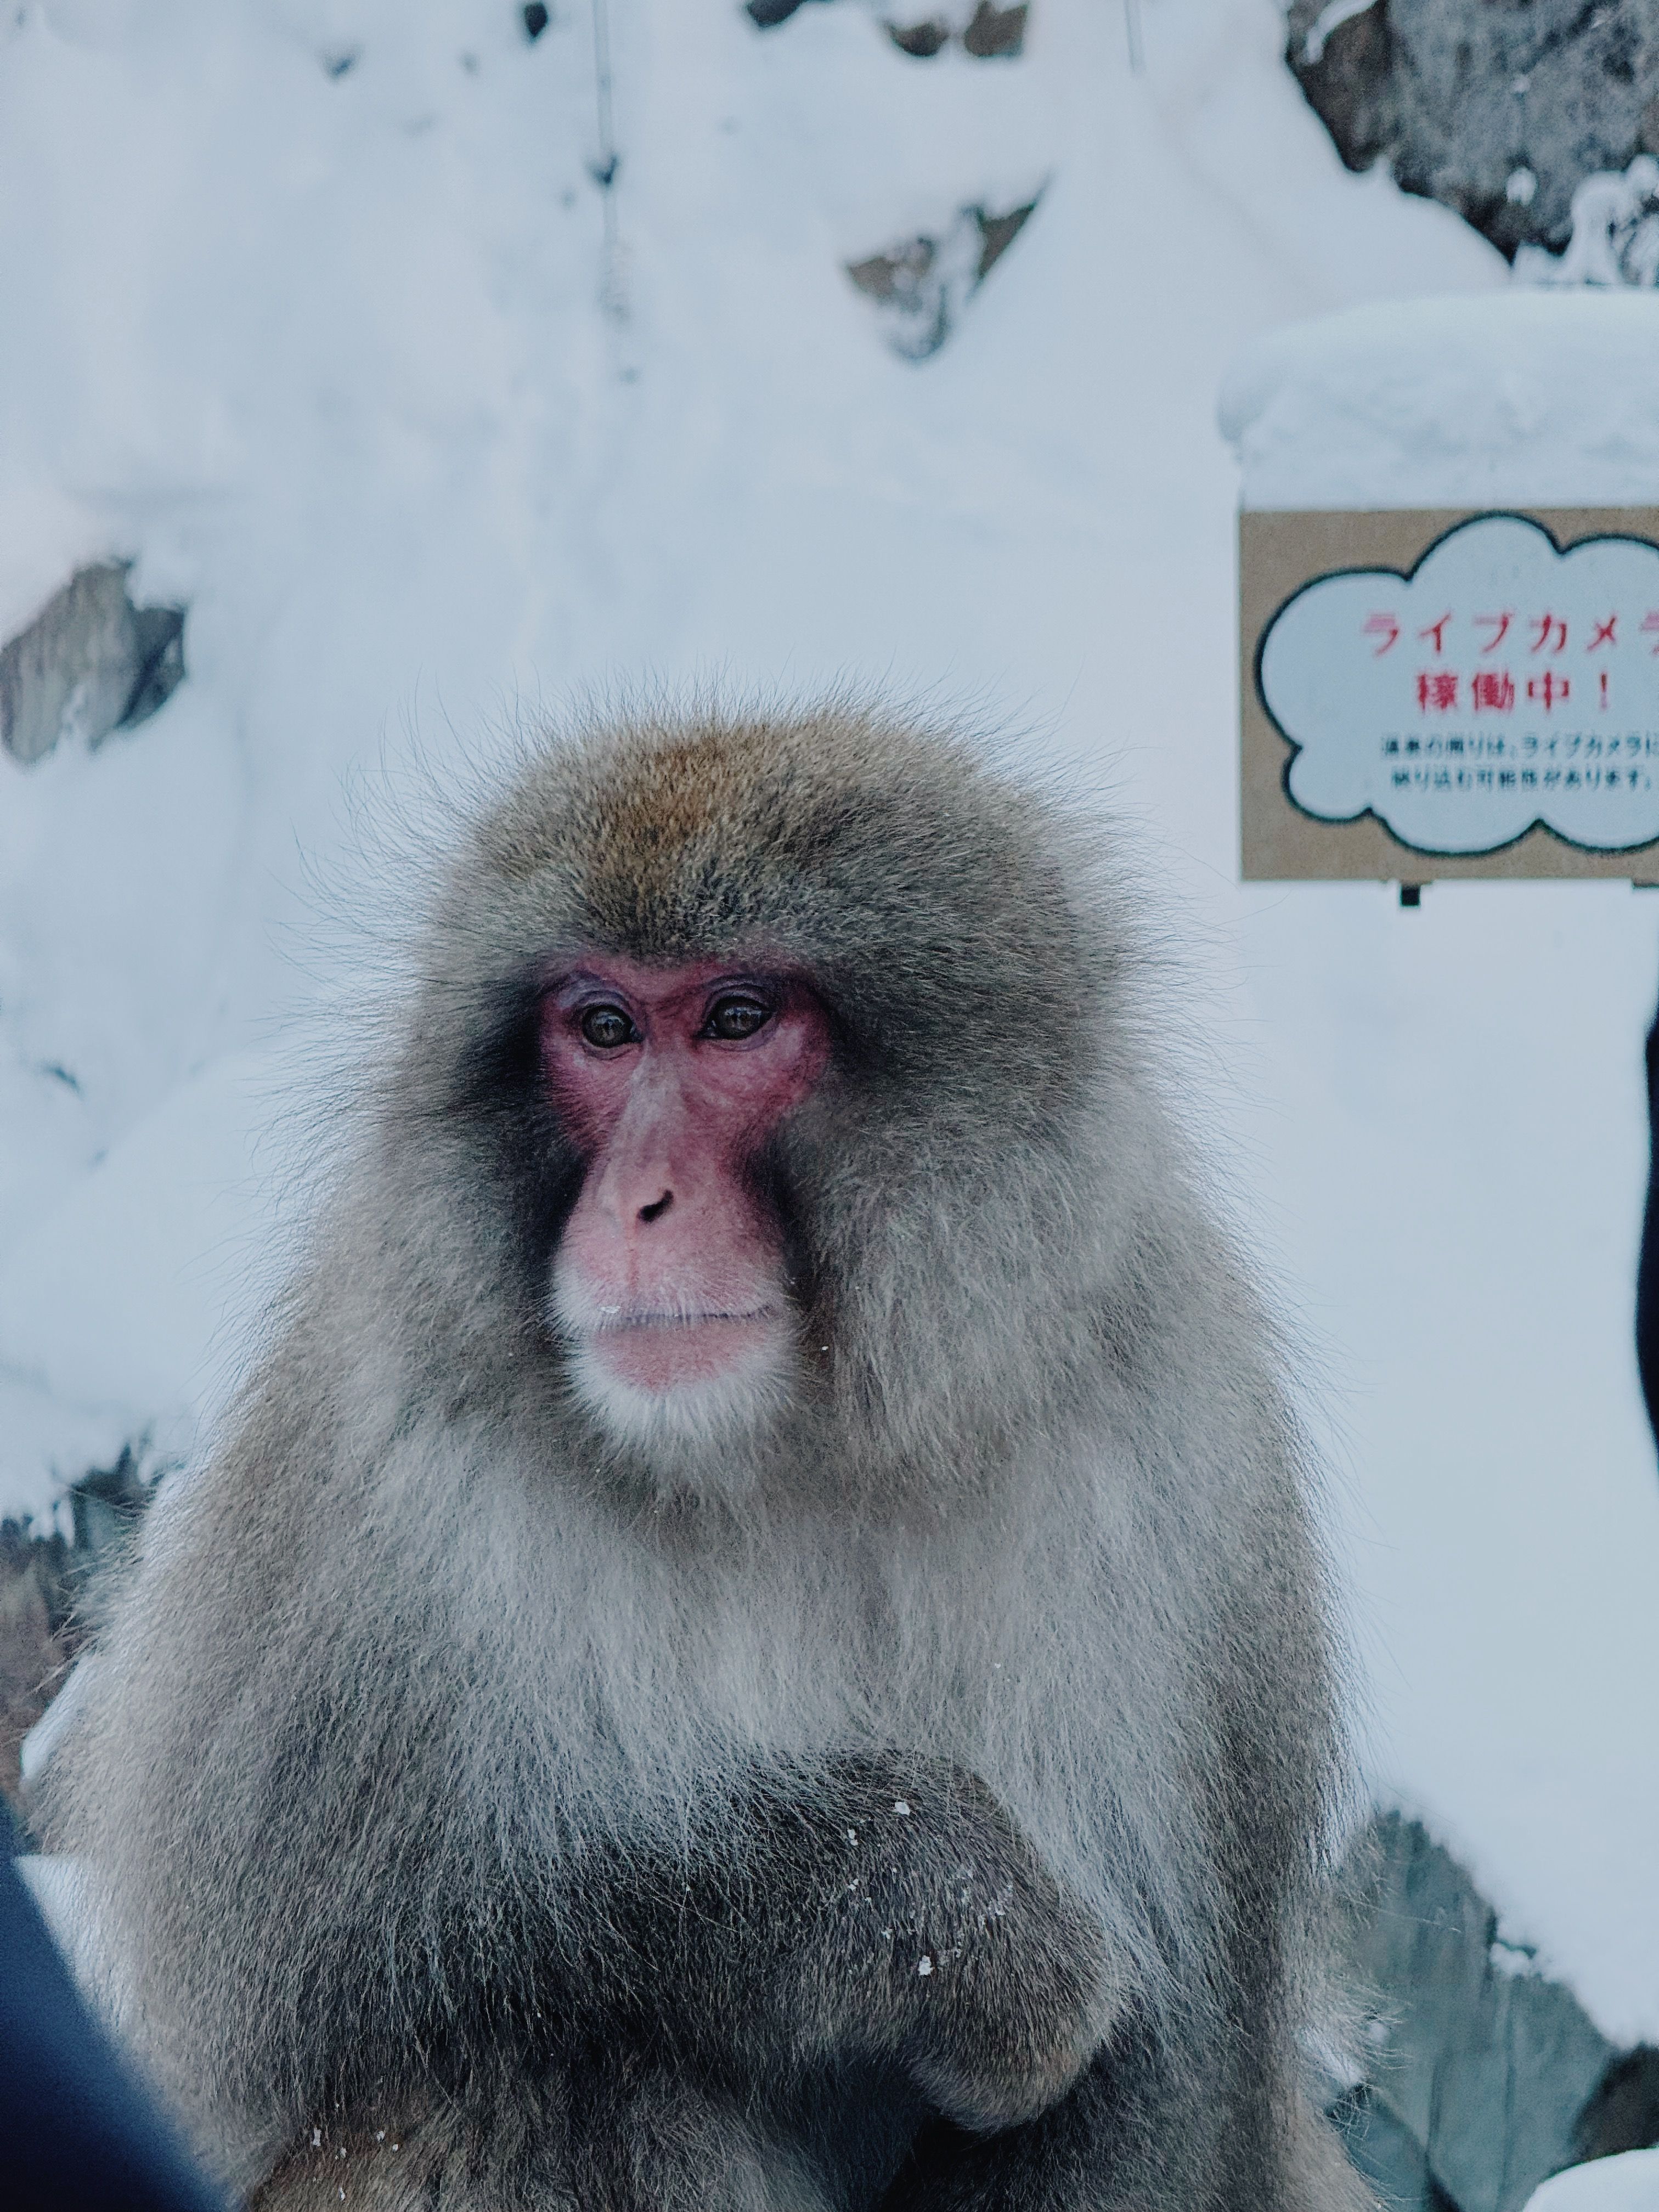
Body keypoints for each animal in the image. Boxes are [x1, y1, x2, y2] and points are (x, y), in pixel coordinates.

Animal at [42, 701, 1370, 2212]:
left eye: (738, 1019)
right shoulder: (374, 1495)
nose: (639, 1200)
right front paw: (944, 1914)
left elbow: (1156, 2089)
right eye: (604, 1029)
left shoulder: (1180, 1485)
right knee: (545, 2075)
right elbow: (333, 1979)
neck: (784, 1456)